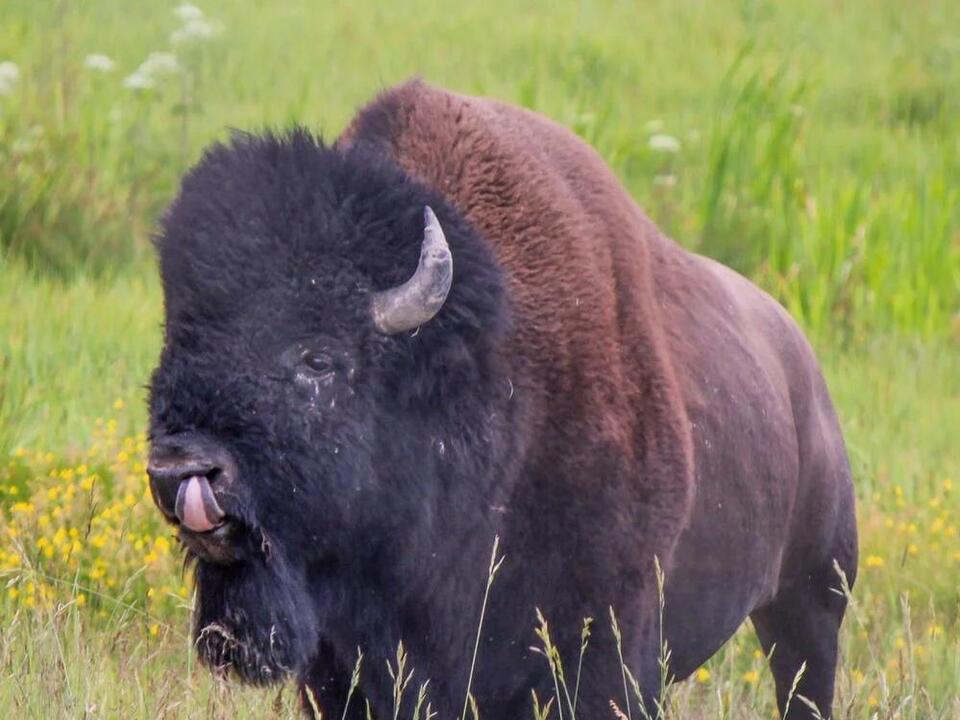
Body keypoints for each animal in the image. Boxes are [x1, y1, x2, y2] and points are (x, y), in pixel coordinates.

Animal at [147, 80, 857, 719]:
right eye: (176, 341)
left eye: (318, 358)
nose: (179, 471)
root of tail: (804, 366)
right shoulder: (345, 667)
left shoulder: (609, 647)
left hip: (811, 603)